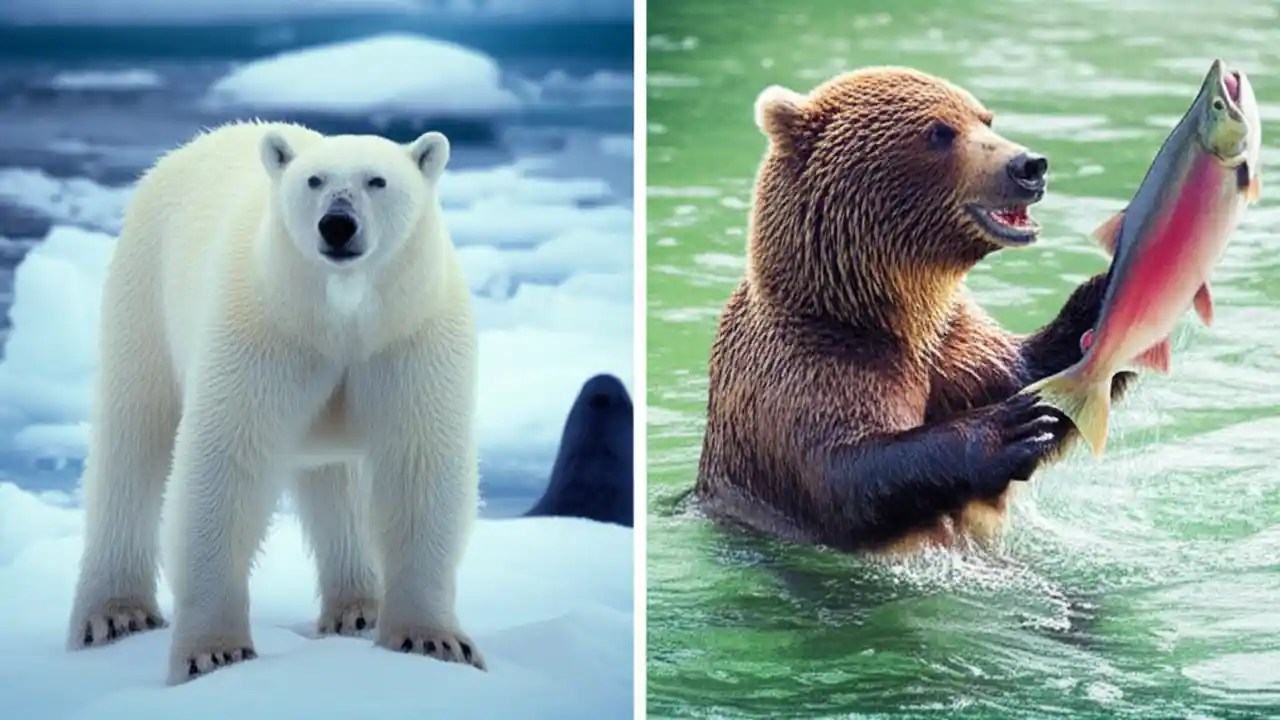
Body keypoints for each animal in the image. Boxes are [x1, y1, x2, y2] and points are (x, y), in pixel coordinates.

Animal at [65, 120, 485, 684]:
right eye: (314, 180)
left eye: (377, 180)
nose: (337, 225)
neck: (336, 319)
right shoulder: (263, 334)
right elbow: (225, 465)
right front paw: (215, 653)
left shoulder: (408, 337)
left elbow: (419, 466)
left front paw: (433, 641)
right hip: (145, 293)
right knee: (132, 442)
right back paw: (115, 616)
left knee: (336, 481)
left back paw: (358, 607)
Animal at [696, 67, 1132, 554]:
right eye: (940, 131)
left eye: (986, 119)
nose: (1028, 165)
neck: (888, 314)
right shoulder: (808, 364)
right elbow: (846, 469)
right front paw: (1010, 429)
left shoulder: (958, 344)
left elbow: (1039, 373)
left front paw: (1106, 296)